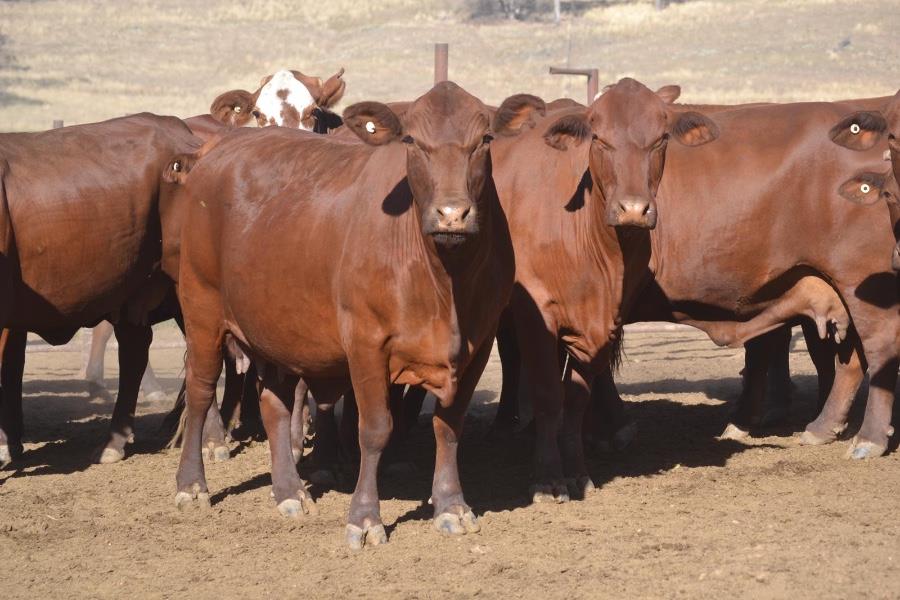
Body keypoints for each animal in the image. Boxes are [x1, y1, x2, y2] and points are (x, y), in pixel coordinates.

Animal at [164, 82, 545, 549]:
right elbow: (375, 429)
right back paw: (191, 485)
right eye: (411, 141)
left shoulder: (478, 341)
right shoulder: (366, 342)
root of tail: (220, 150)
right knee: (200, 391)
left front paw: (452, 506)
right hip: (201, 307)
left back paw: (289, 492)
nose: (453, 213)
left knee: (274, 405)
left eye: (485, 140)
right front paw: (364, 518)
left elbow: (449, 425)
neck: (444, 281)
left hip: (273, 329)